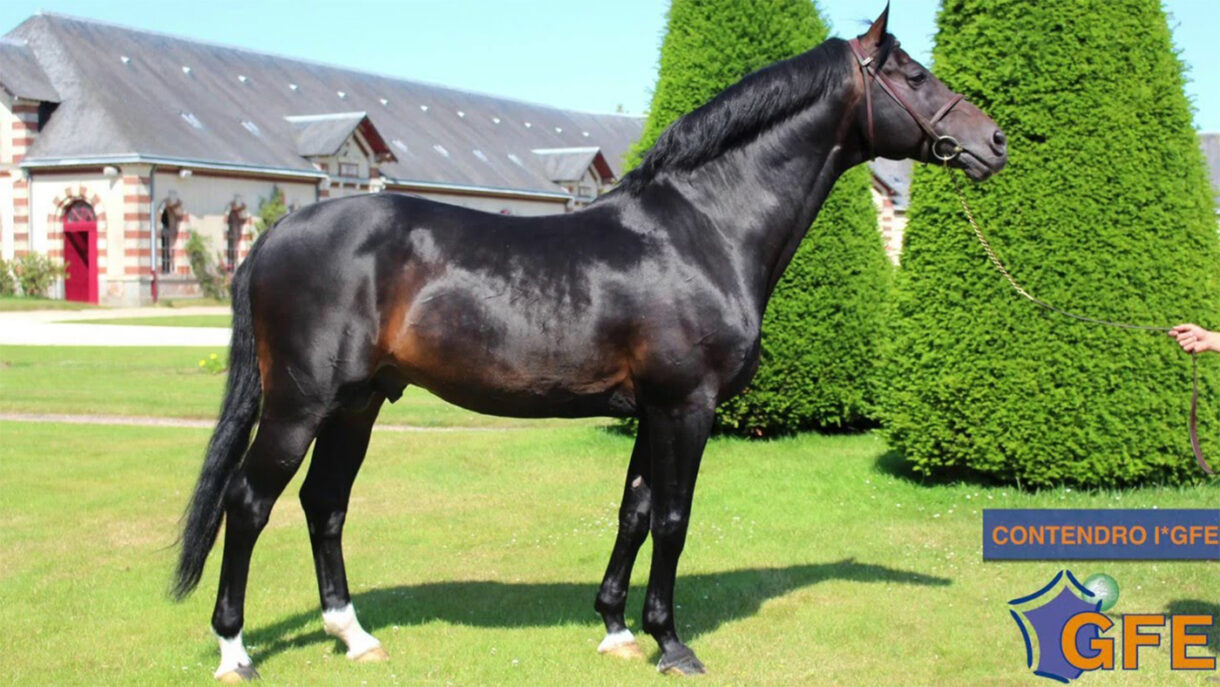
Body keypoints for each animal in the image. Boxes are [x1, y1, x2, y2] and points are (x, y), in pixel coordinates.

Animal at [174, 6, 1007, 681]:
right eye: (911, 73)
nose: (993, 142)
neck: (703, 228)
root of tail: (278, 232)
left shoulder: (652, 409)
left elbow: (633, 511)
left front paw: (615, 626)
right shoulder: (686, 406)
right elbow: (673, 517)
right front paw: (672, 644)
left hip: (358, 403)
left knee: (325, 502)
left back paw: (354, 635)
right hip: (299, 405)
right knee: (249, 503)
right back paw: (235, 650)